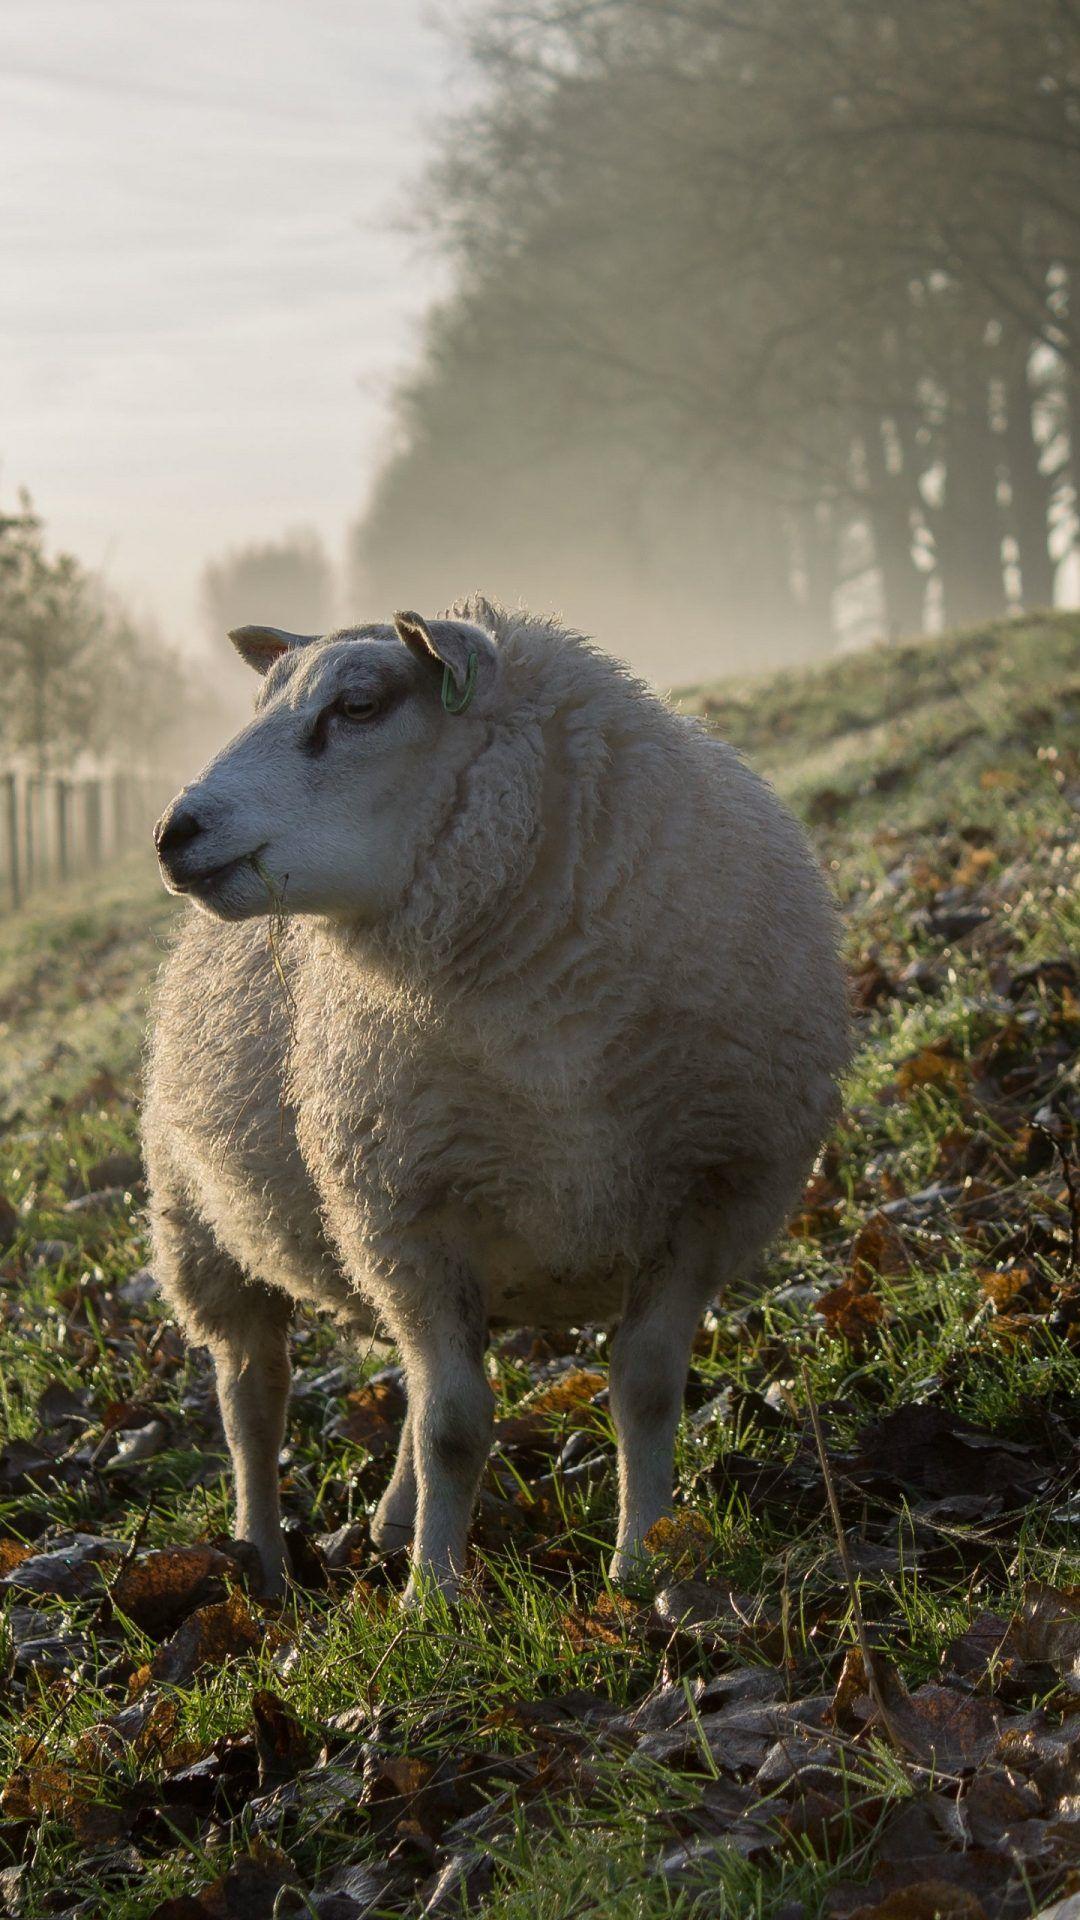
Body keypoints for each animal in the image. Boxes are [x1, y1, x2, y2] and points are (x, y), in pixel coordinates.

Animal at [143, 598, 849, 1602]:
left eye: (358, 707)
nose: (174, 832)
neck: (551, 1038)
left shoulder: (706, 1199)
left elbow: (643, 1387)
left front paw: (645, 1566)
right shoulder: (406, 1216)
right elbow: (454, 1425)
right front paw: (434, 1600)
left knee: (394, 1384)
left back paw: (390, 1525)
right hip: (201, 1228)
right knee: (253, 1395)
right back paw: (265, 1562)